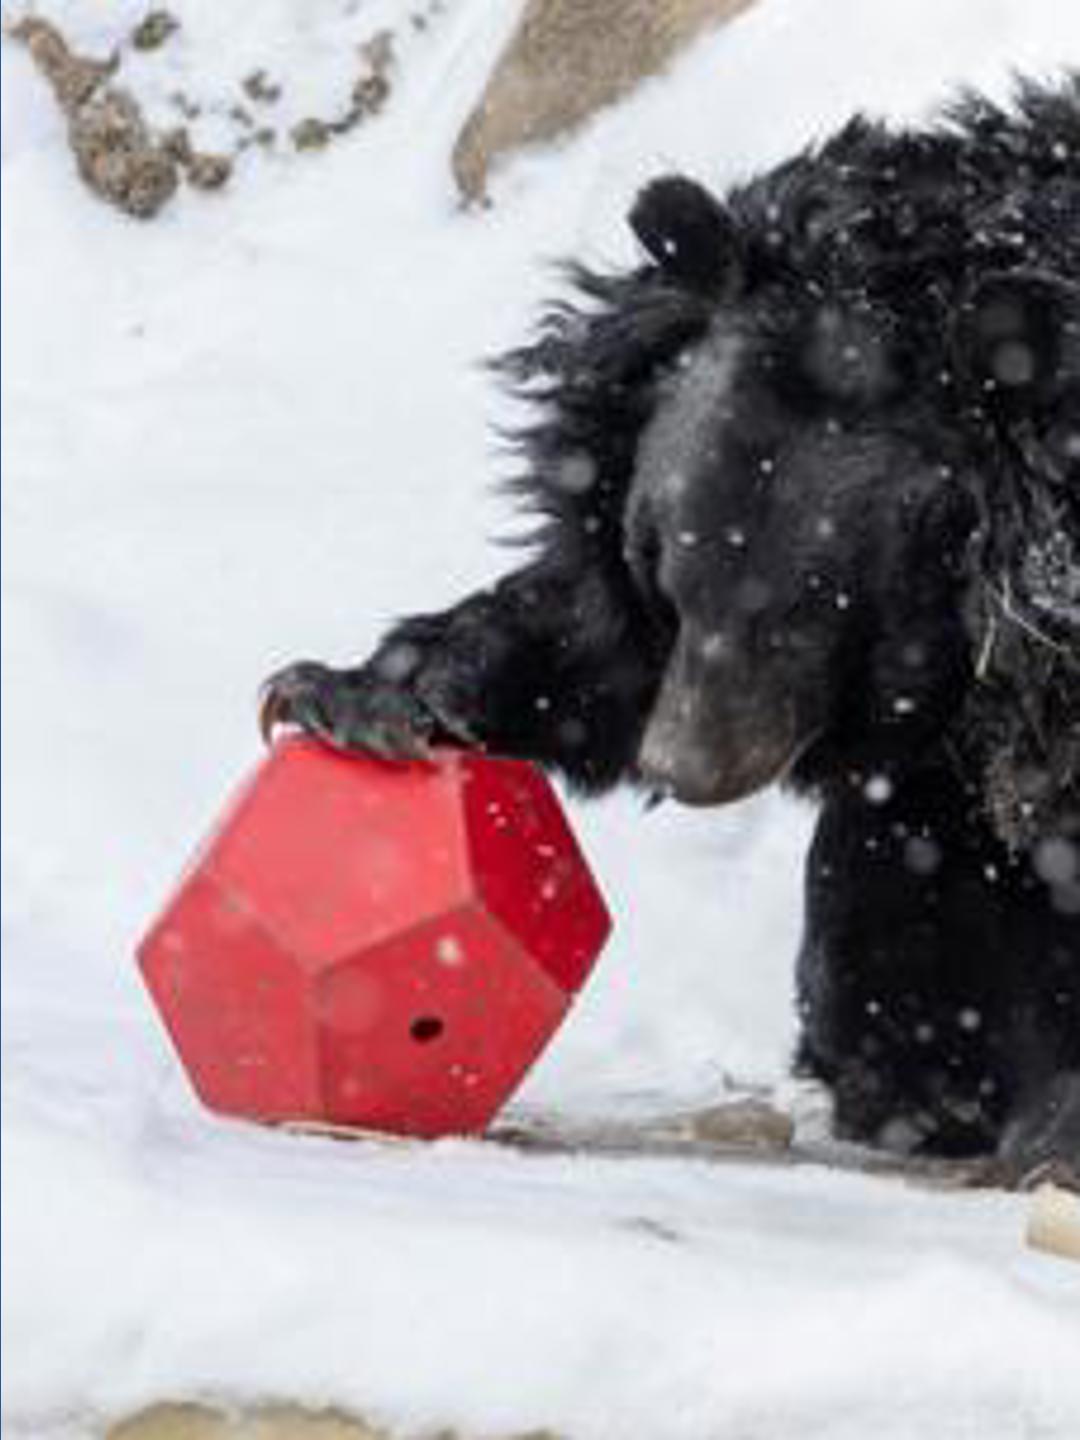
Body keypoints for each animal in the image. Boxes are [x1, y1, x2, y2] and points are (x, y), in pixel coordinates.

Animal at [261, 76, 1080, 1181]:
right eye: (667, 565)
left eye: (825, 604)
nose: (683, 767)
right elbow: (590, 649)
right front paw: (358, 699)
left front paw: (1057, 1132)